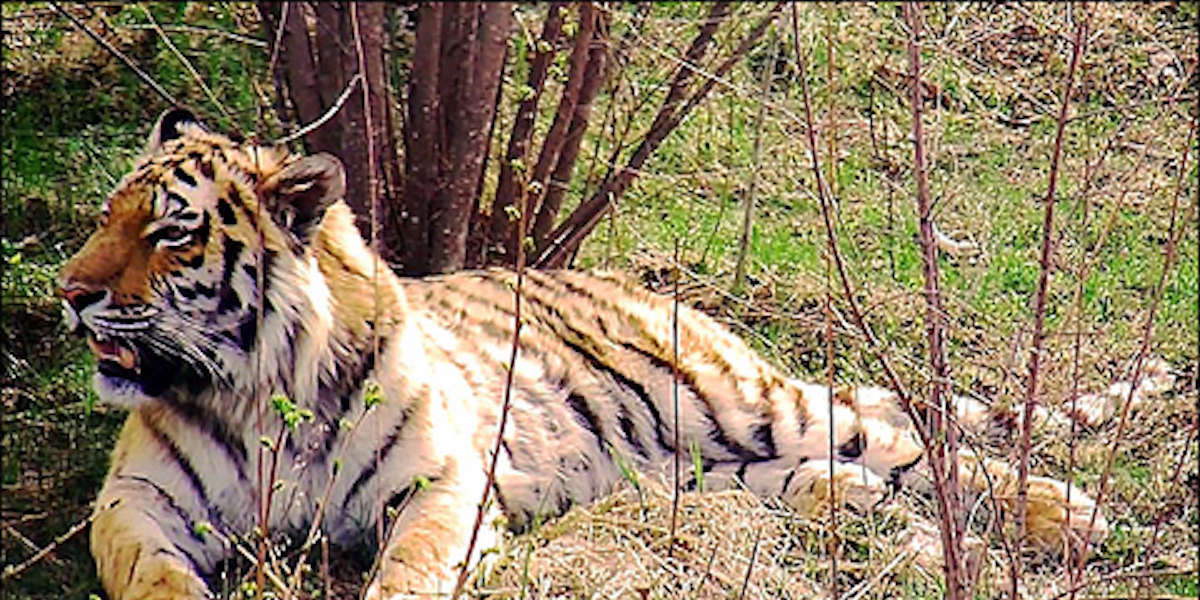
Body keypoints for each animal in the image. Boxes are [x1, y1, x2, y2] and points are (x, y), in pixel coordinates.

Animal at [59, 109, 1117, 599]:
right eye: (104, 215)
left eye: (170, 233)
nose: (68, 294)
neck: (257, 390)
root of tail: (638, 285)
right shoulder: (137, 500)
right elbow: (149, 573)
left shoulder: (441, 486)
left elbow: (412, 570)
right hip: (691, 465)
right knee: (822, 477)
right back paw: (860, 507)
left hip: (739, 401)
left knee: (920, 447)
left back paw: (1070, 514)